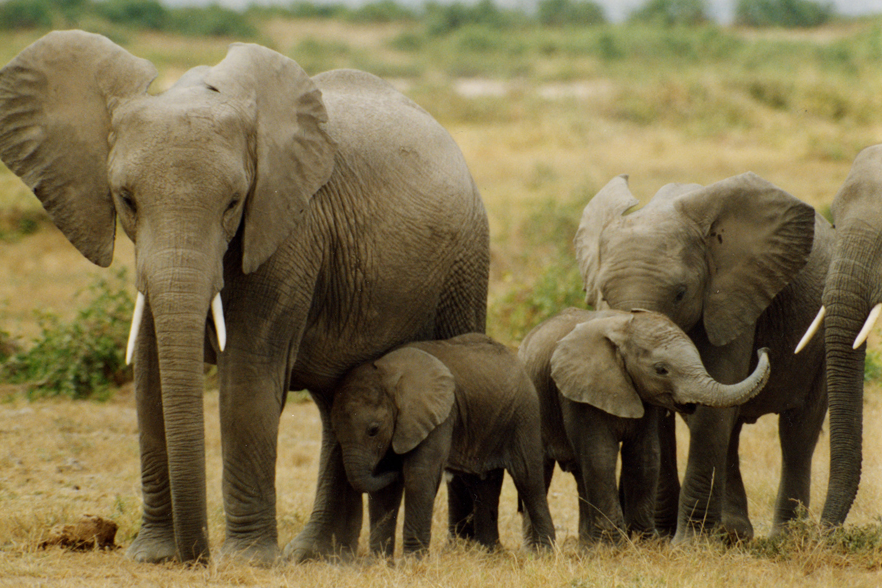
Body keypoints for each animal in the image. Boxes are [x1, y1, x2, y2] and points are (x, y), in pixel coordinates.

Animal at [0, 31, 490, 563]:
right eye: (126, 200)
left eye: (234, 203)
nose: (196, 555)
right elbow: (151, 378)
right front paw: (153, 555)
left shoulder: (290, 232)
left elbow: (247, 379)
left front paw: (245, 559)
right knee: (338, 404)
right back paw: (317, 556)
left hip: (466, 262)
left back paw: (466, 548)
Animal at [330, 333, 556, 556]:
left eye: (373, 430)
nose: (395, 469)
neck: (388, 374)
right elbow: (385, 490)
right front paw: (379, 560)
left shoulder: (440, 417)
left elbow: (420, 475)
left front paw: (413, 559)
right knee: (484, 484)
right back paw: (490, 553)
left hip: (524, 412)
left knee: (528, 478)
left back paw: (545, 552)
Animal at [517, 308, 770, 543]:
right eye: (661, 370)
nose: (763, 349)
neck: (621, 326)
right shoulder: (579, 393)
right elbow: (600, 457)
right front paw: (613, 549)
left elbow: (645, 456)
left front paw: (645, 544)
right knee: (539, 472)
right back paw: (540, 552)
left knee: (581, 475)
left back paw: (588, 549)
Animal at [574, 172, 833, 542]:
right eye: (603, 294)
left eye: (680, 293)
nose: (764, 352)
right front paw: (662, 538)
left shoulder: (731, 297)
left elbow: (713, 406)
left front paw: (687, 543)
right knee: (733, 427)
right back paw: (733, 534)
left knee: (798, 431)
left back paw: (783, 537)